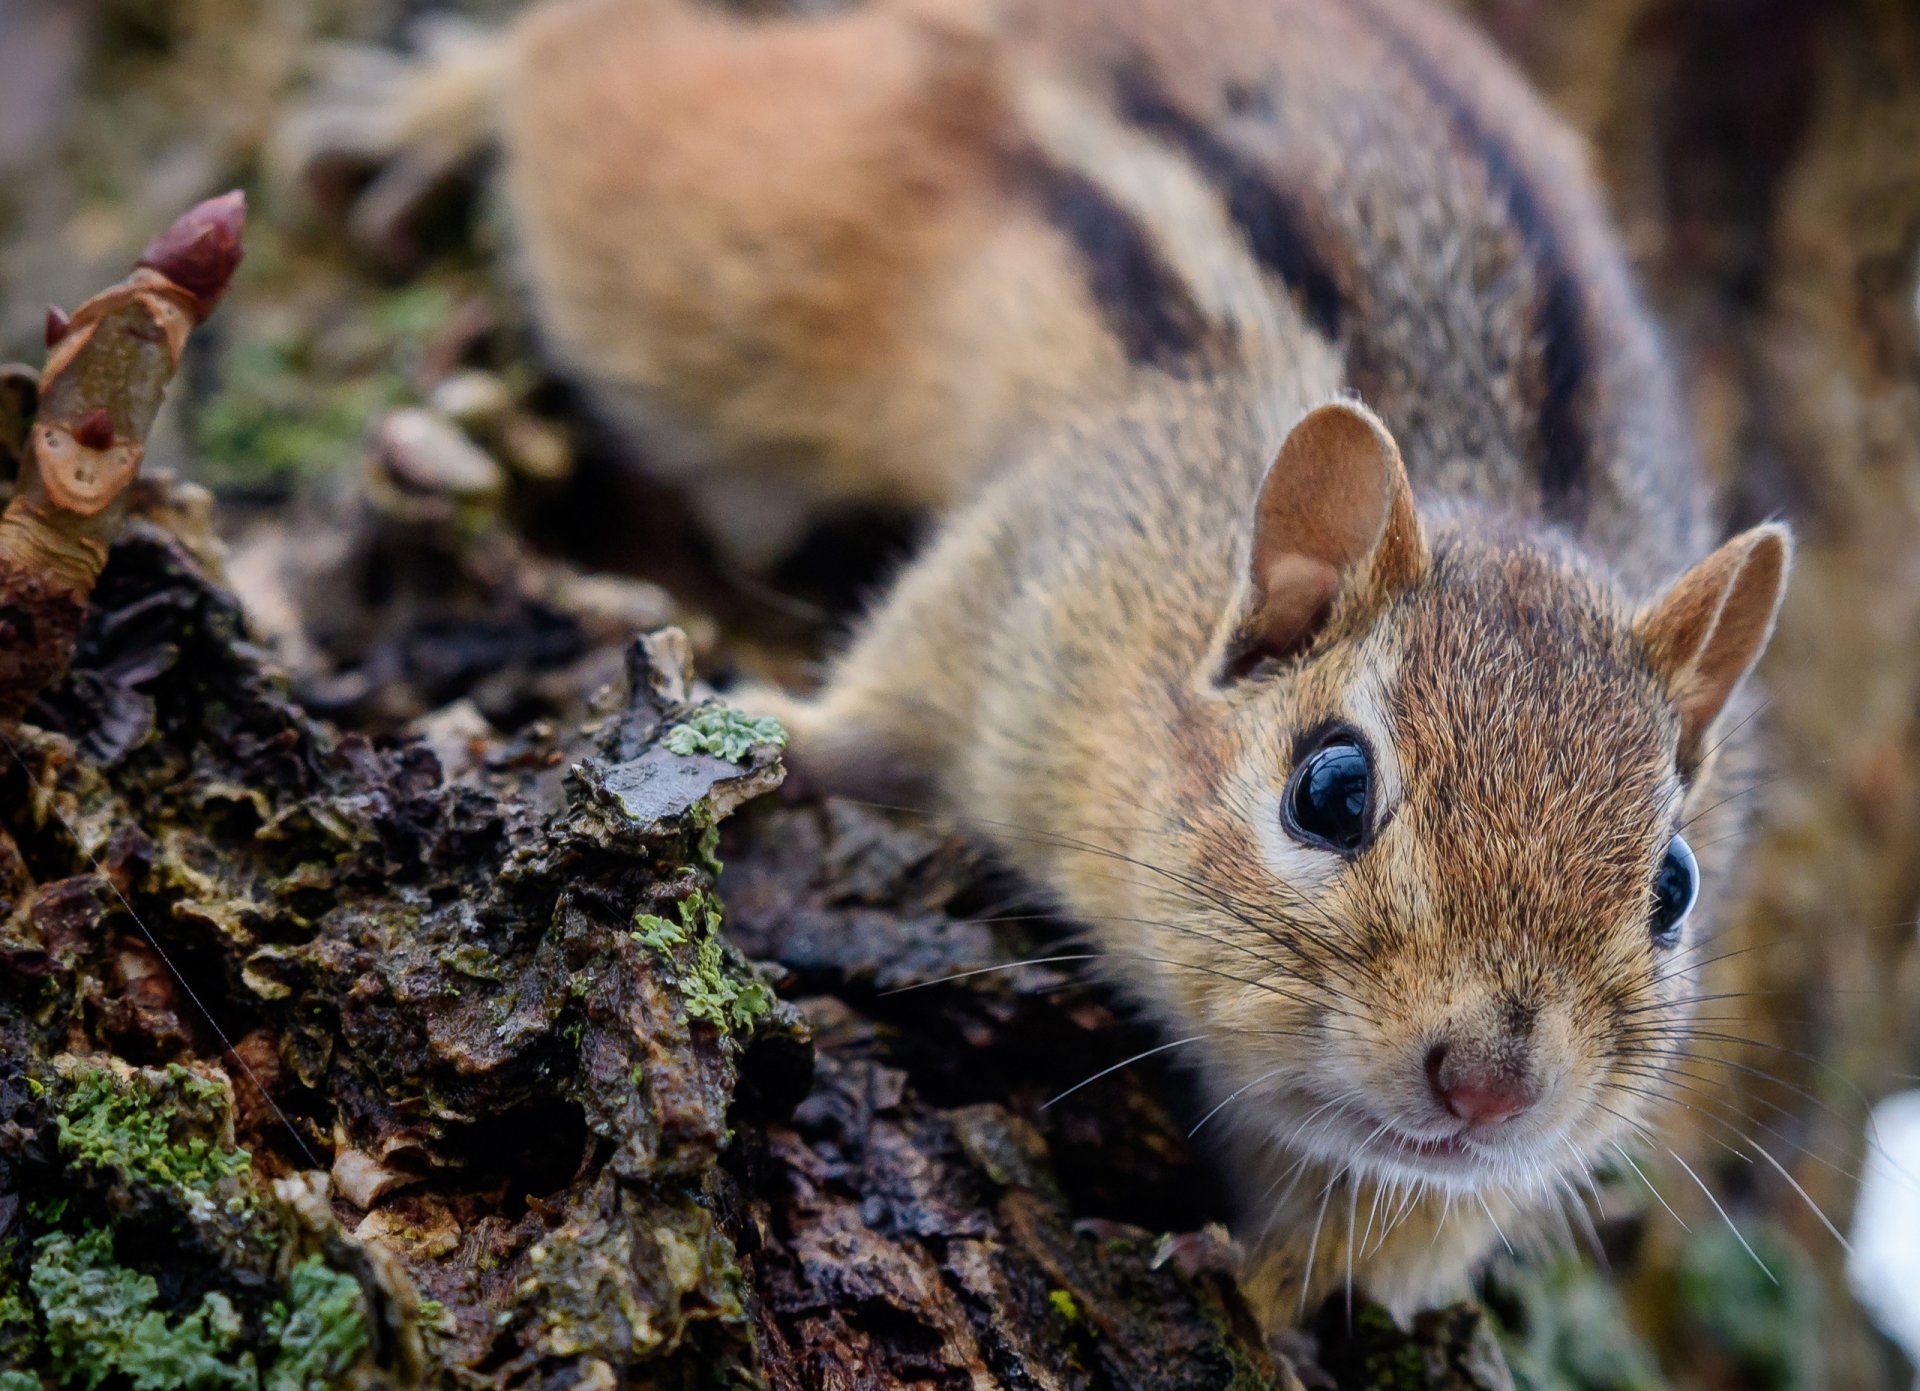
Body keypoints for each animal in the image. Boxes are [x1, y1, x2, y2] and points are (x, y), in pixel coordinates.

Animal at [285, 0, 1793, 1324]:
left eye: (1675, 884)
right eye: (1331, 792)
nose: (1491, 1085)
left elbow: (1363, 1250)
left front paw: (1254, 1278)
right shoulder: (1028, 569)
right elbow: (886, 698)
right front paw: (760, 727)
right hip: (726, 250)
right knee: (590, 79)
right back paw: (436, 100)